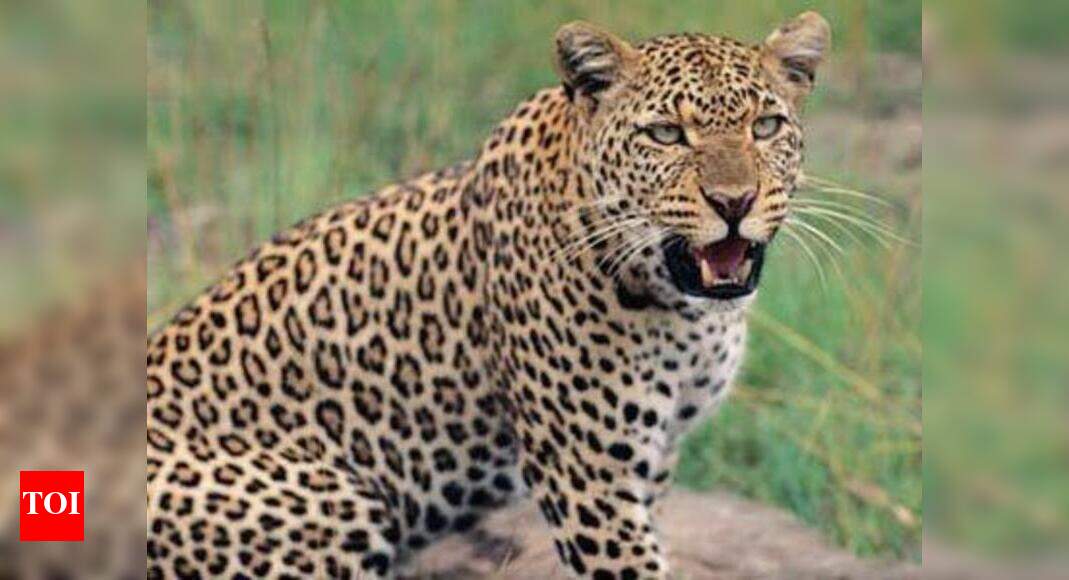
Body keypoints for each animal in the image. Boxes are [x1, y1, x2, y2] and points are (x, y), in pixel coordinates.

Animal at [147, 12, 830, 579]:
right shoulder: (588, 475)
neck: (686, 316)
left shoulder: (655, 459)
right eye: (665, 134)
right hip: (329, 507)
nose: (734, 202)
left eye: (766, 126)